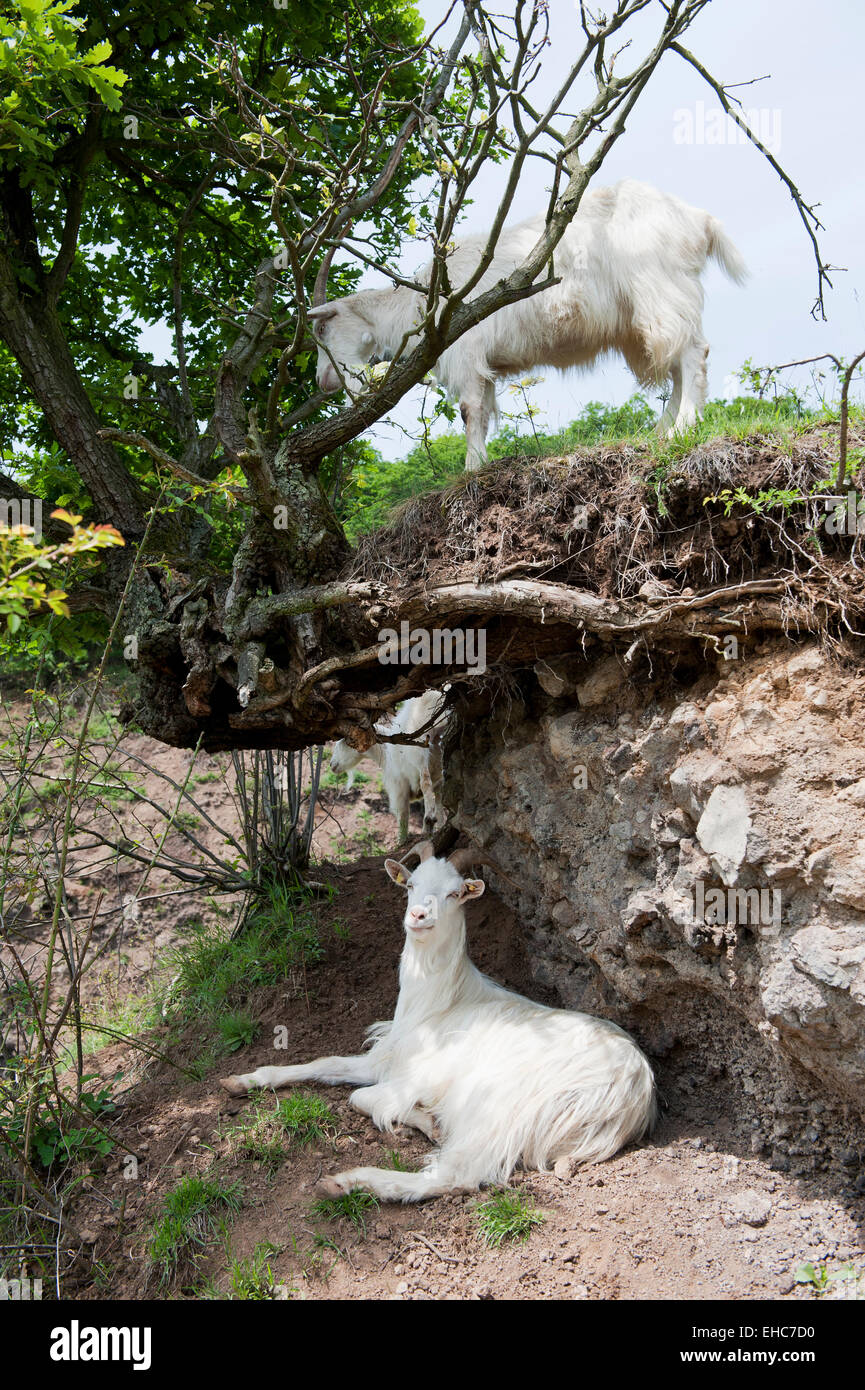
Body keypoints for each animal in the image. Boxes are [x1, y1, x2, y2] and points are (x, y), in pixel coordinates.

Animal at [220, 841, 656, 1202]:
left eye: (454, 892)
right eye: (411, 884)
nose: (418, 915)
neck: (440, 1001)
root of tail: (631, 1096)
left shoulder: (427, 1073)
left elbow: (360, 1098)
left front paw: (426, 1121)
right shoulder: (386, 1058)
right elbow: (324, 1064)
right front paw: (244, 1079)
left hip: (500, 1103)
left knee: (457, 1174)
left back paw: (348, 1182)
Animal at [309, 179, 747, 470]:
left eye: (321, 329)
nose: (324, 382)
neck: (420, 304)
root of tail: (698, 220)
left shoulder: (465, 350)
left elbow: (469, 411)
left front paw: (470, 468)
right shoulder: (481, 362)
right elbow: (484, 413)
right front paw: (481, 463)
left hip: (662, 289)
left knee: (692, 353)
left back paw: (682, 428)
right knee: (677, 363)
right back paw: (664, 429)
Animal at [330, 689, 448, 843]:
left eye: (340, 745)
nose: (332, 765)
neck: (386, 755)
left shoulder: (398, 789)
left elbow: (403, 817)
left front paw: (401, 841)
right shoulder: (438, 779)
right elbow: (439, 801)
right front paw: (441, 825)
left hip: (419, 748)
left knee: (425, 782)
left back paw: (428, 821)